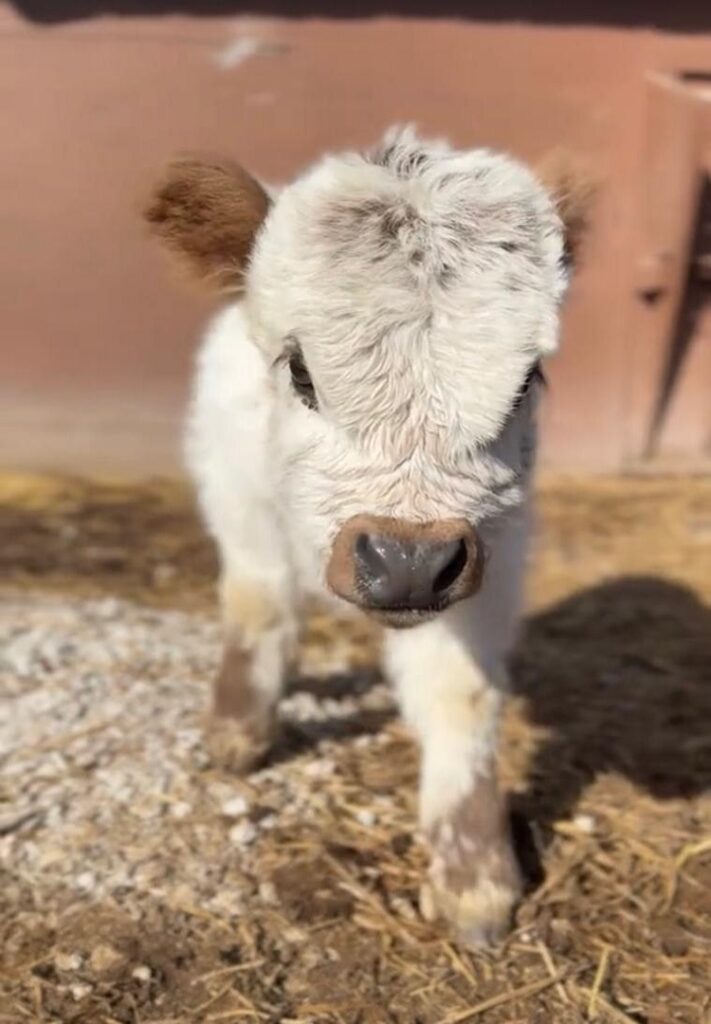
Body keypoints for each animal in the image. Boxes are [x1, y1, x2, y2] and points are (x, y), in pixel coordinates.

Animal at [144, 126, 586, 946]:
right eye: (299, 371)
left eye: (526, 382)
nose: (406, 561)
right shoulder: (241, 501)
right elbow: (260, 609)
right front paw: (237, 732)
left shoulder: (490, 545)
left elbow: (458, 692)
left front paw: (475, 878)